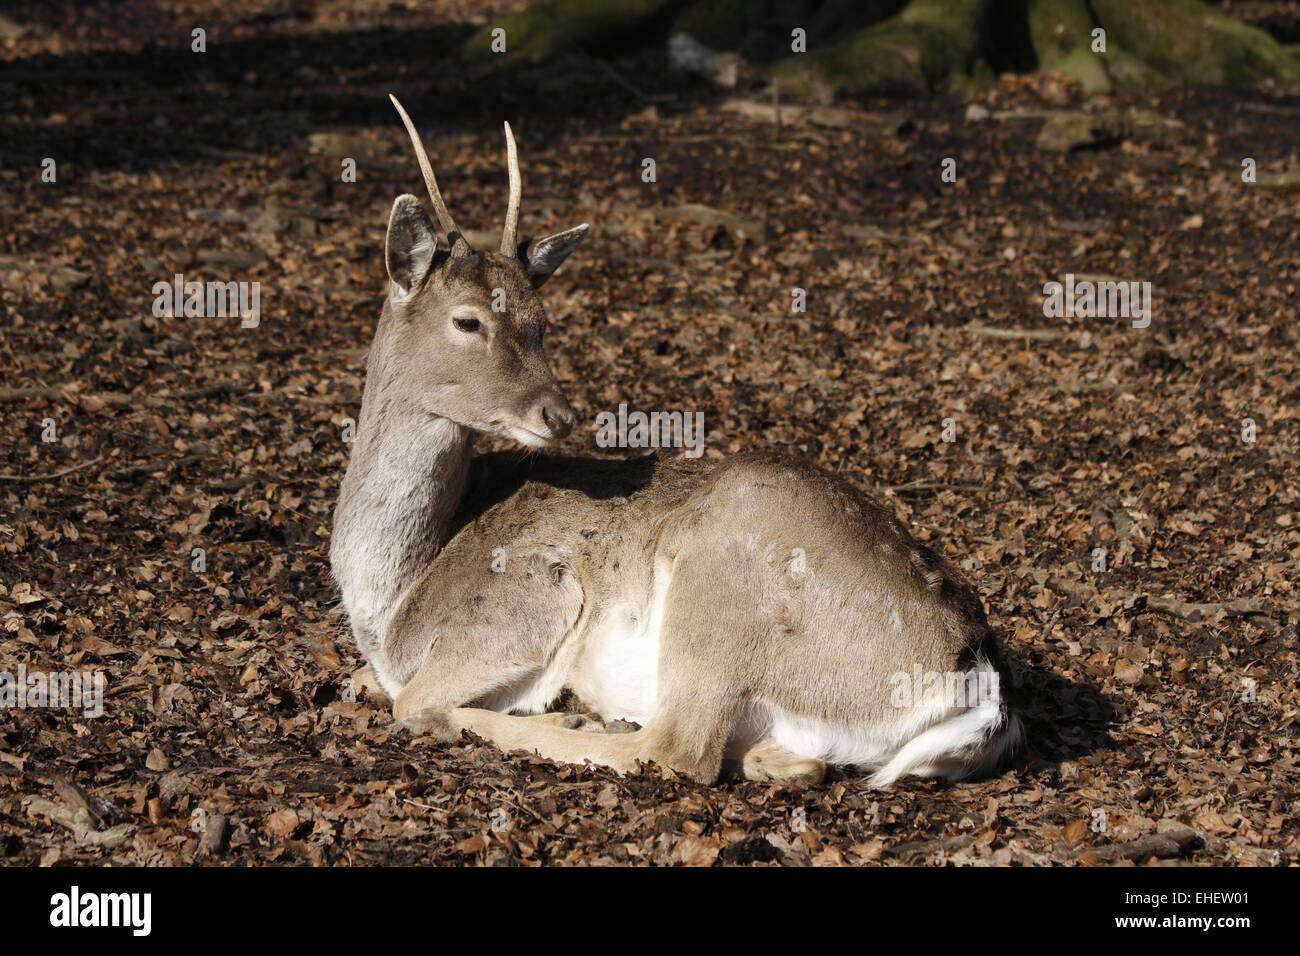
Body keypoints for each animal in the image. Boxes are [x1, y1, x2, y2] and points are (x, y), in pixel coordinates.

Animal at [329, 95, 1023, 787]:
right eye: (468, 320)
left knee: (676, 748)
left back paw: (578, 718)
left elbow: (409, 697)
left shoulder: (526, 594)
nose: (558, 413)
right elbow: (361, 680)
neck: (388, 605)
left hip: (724, 582)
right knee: (791, 761)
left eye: (542, 322)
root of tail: (978, 683)